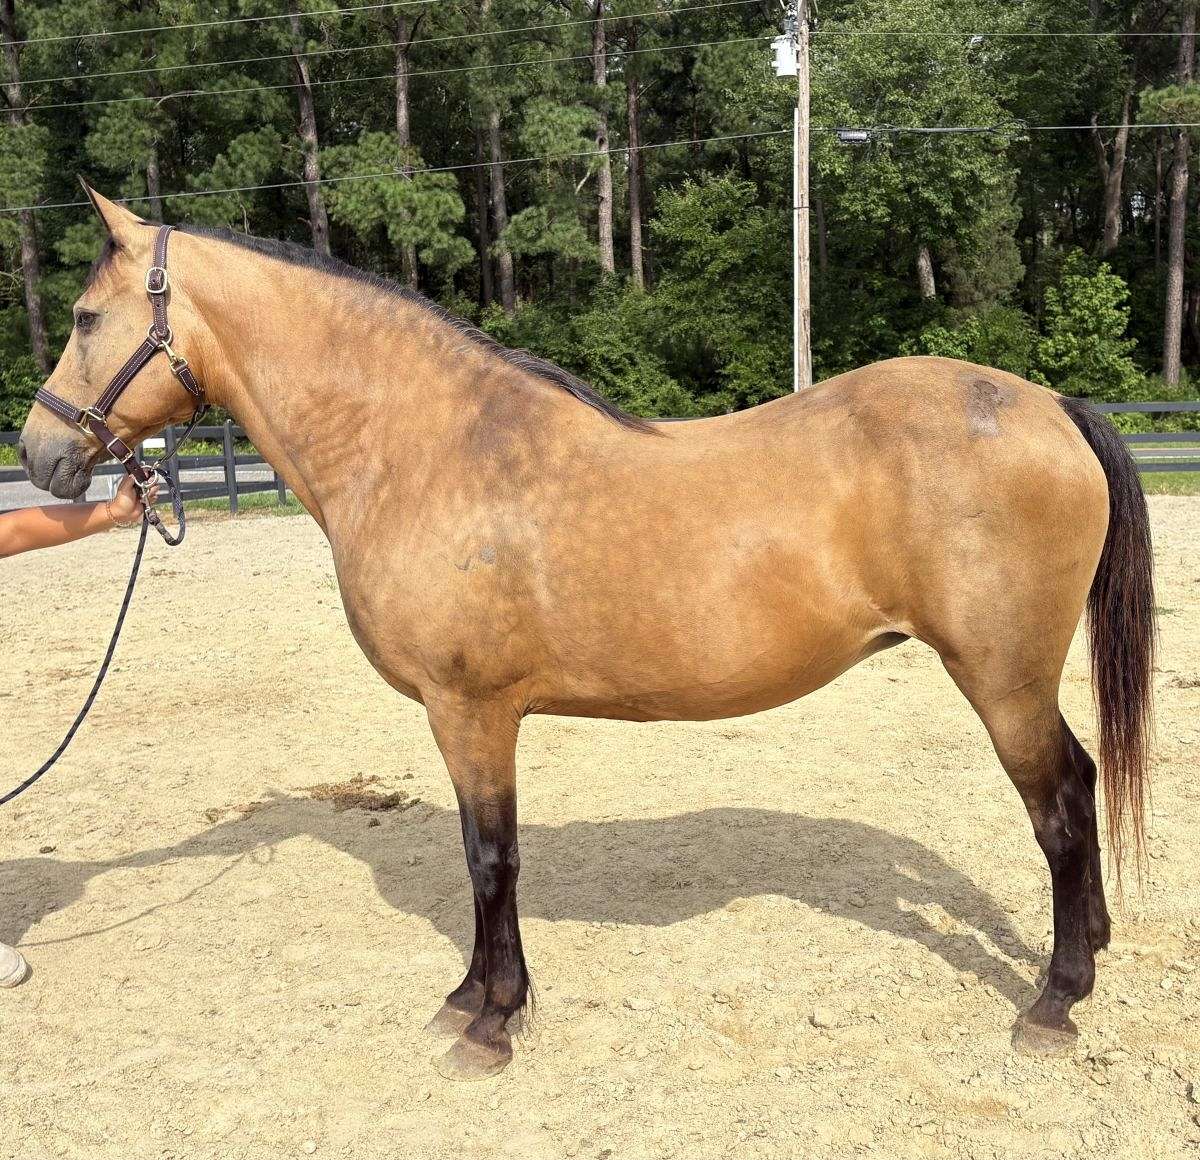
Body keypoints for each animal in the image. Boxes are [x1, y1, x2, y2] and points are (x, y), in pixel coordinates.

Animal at [18, 188, 1155, 1080]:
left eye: (82, 315)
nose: (38, 455)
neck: (425, 448)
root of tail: (1050, 403)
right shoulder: (469, 716)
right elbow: (479, 855)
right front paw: (468, 994)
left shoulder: (470, 709)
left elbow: (490, 857)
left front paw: (492, 1019)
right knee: (1082, 782)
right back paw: (1093, 949)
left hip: (1001, 679)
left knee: (1059, 805)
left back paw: (1055, 999)